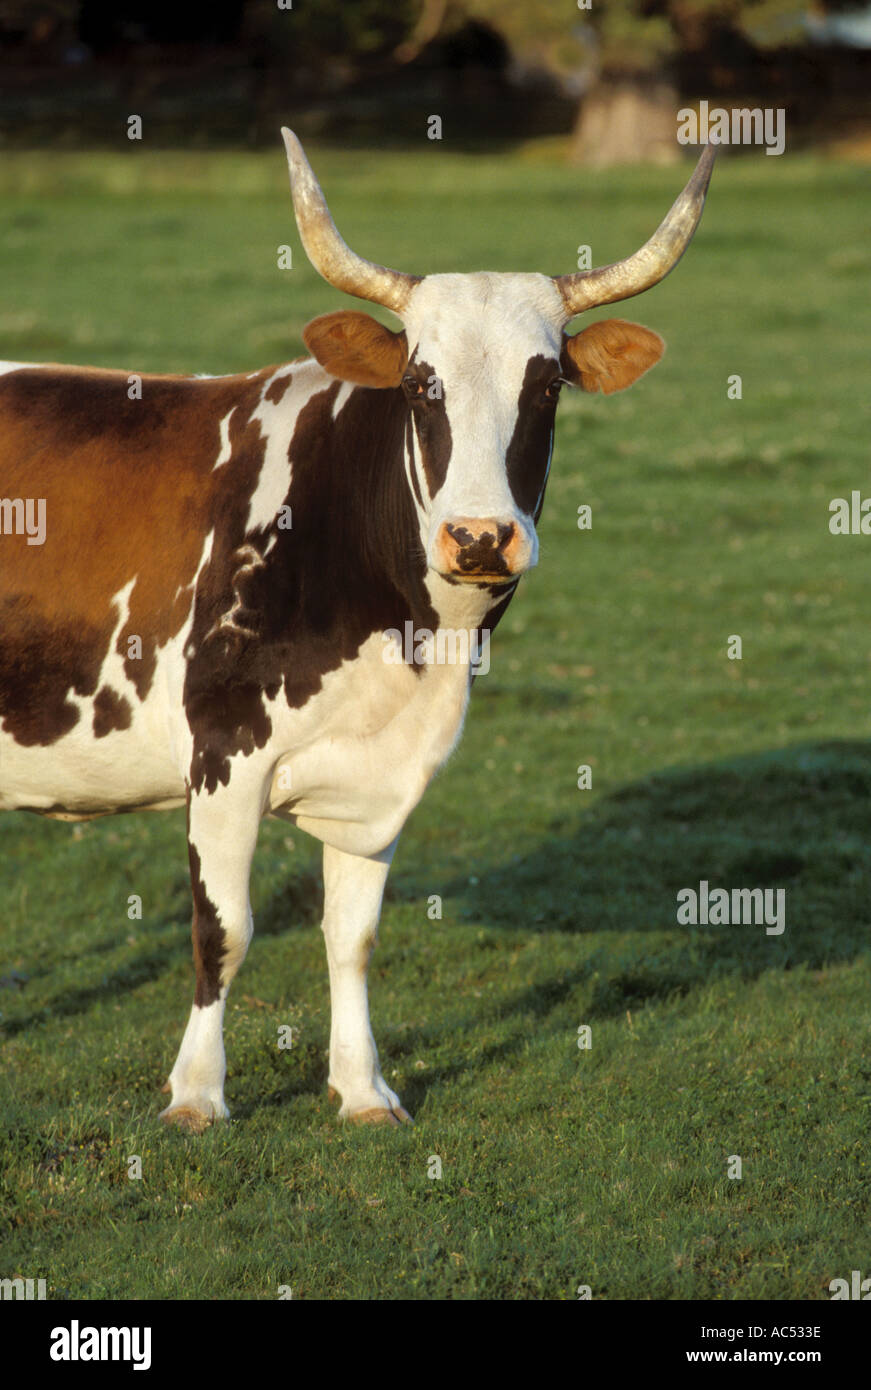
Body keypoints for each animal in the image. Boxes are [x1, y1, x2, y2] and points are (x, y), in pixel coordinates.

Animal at [0, 130, 715, 1131]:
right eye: (419, 382)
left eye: (546, 386)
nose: (479, 536)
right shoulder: (223, 755)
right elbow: (224, 929)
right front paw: (196, 1094)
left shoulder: (381, 779)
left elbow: (353, 935)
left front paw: (362, 1088)